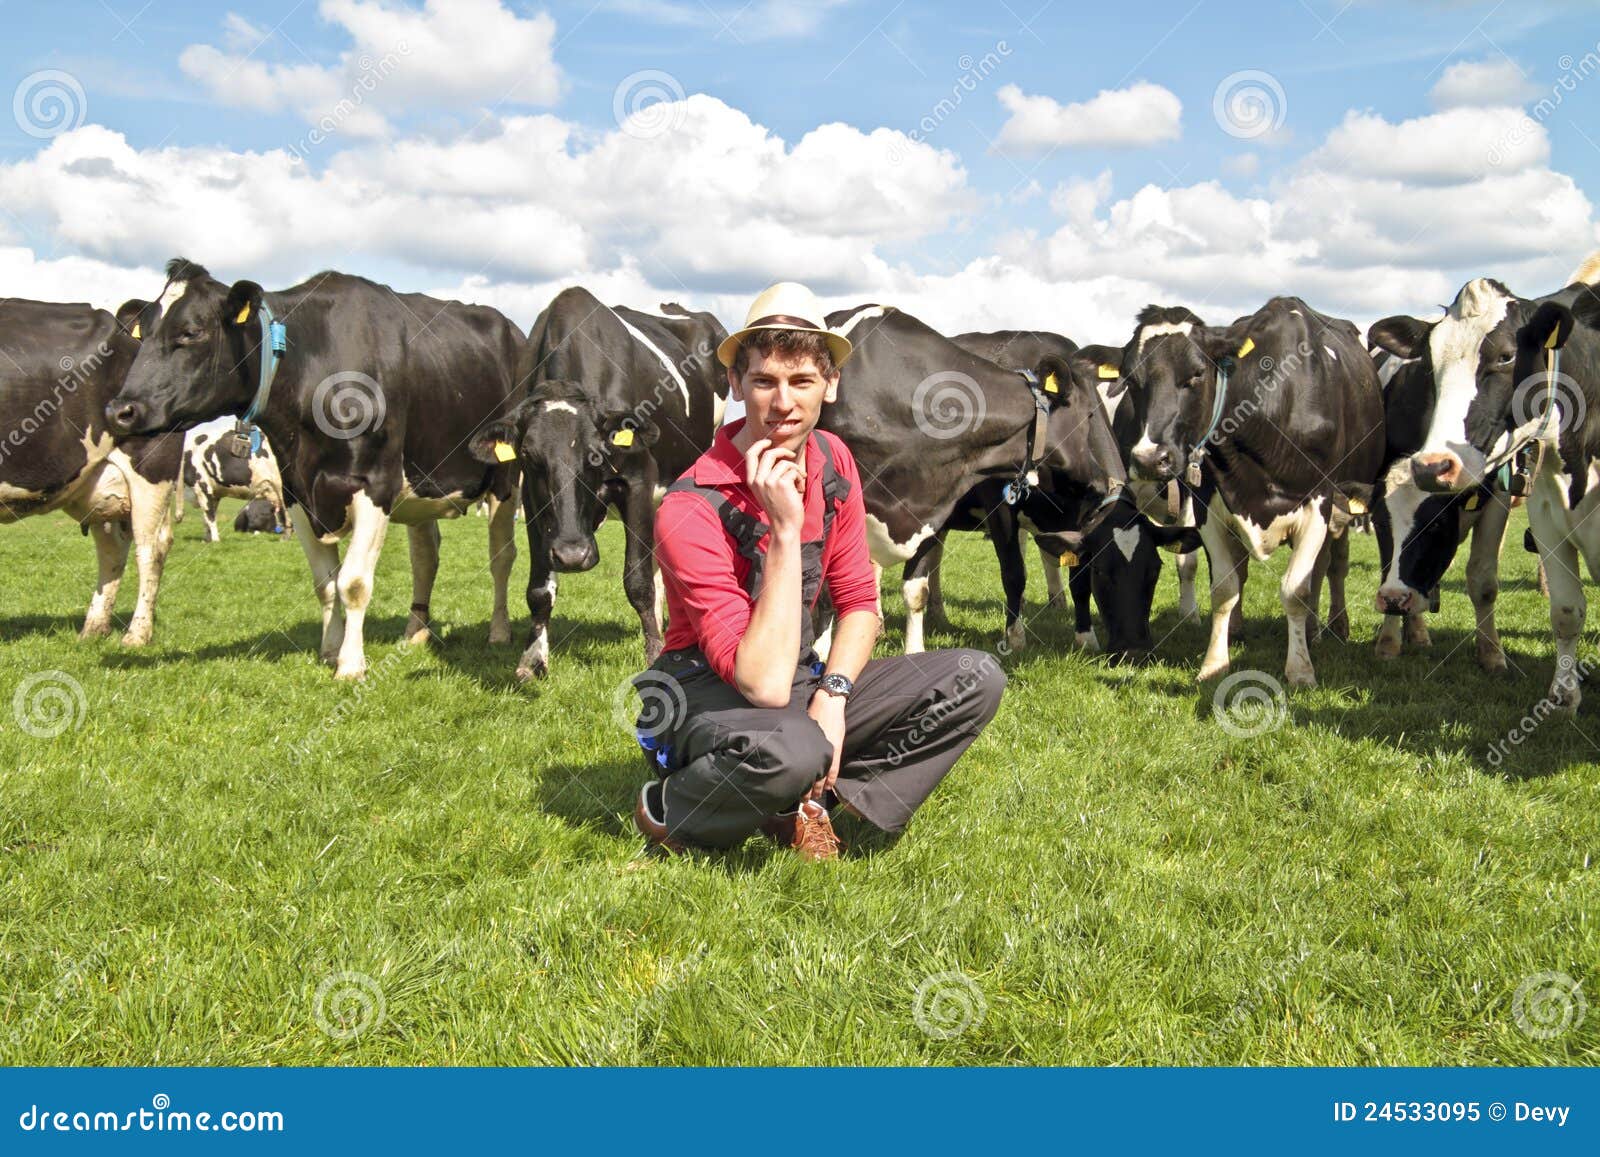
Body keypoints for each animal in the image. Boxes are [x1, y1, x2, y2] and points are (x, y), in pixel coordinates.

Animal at [0, 297, 179, 645]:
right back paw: (94, 628)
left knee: (151, 548)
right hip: (98, 484)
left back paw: (137, 635)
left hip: (151, 466)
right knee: (112, 548)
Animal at [105, 258, 524, 681]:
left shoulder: (375, 485)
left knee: (501, 557)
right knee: (425, 556)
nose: (119, 410)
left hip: (505, 481)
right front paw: (329, 650)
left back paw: (499, 631)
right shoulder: (296, 492)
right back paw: (415, 633)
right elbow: (326, 583)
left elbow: (353, 582)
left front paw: (351, 665)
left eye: (191, 332)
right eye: (144, 334)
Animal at [466, 287, 729, 680]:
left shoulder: (638, 481)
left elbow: (637, 580)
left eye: (597, 451)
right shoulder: (531, 496)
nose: (573, 555)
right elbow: (539, 588)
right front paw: (533, 659)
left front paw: (653, 655)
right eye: (528, 454)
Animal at [1123, 298, 1386, 686]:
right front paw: (1214, 664)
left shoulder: (1319, 504)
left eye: (1197, 373)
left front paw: (1300, 670)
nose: (1148, 459)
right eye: (1130, 378)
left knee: (1331, 566)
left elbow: (1297, 590)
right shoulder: (1209, 507)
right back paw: (1240, 629)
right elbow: (1225, 587)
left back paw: (1329, 628)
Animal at [1364, 343, 1510, 670]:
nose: (1394, 599)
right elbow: (1387, 566)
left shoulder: (1497, 497)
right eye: (1378, 523)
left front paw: (1492, 654)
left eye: (1436, 525)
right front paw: (1388, 643)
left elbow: (1484, 583)